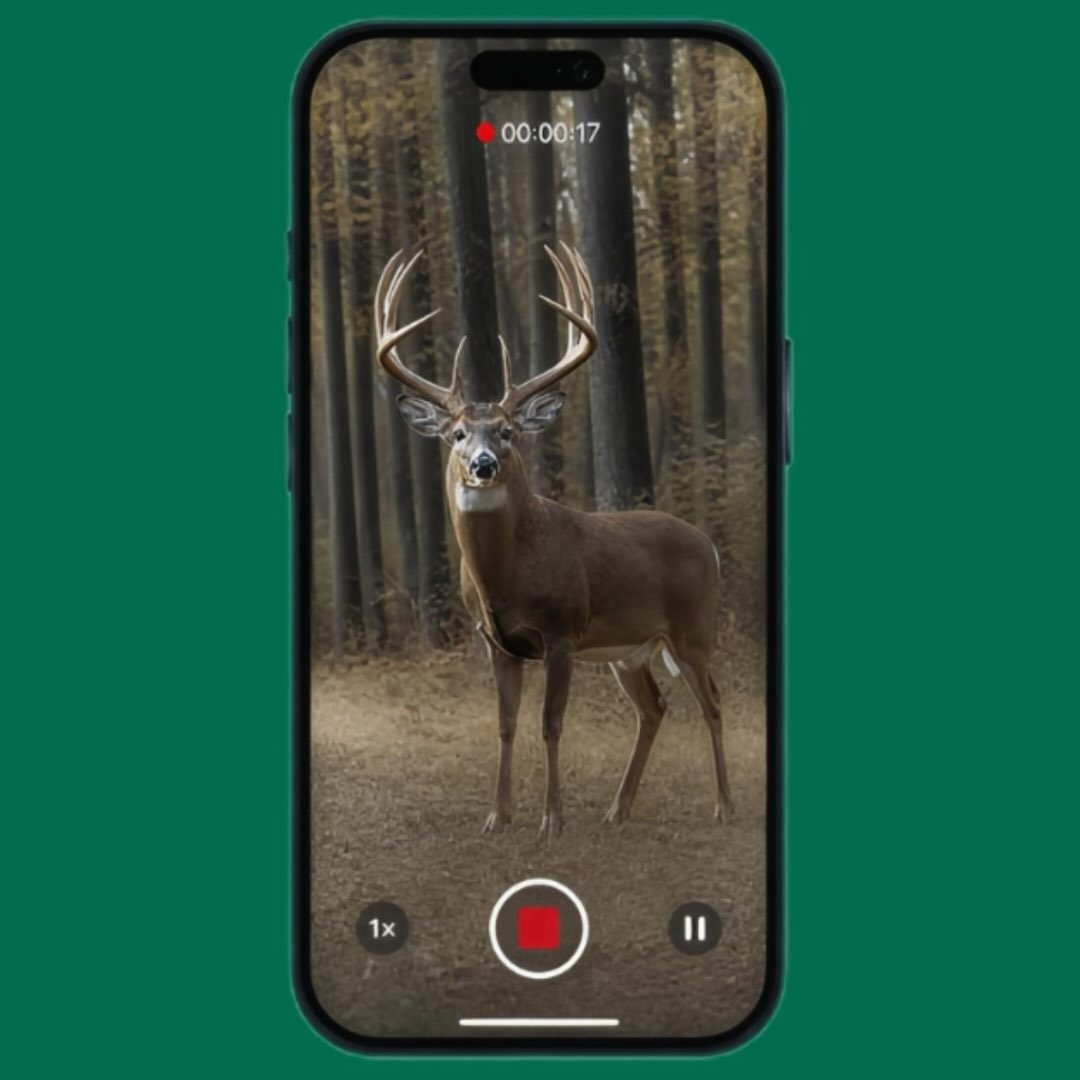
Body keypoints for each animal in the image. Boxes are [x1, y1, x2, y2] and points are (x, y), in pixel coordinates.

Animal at [374, 243, 733, 839]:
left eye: (507, 432)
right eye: (457, 434)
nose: (483, 464)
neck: (506, 575)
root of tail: (709, 545)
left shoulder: (562, 632)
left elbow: (551, 724)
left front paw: (551, 820)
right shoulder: (495, 642)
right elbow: (504, 724)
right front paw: (497, 817)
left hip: (693, 628)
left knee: (713, 702)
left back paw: (723, 806)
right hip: (628, 649)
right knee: (654, 708)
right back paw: (617, 809)